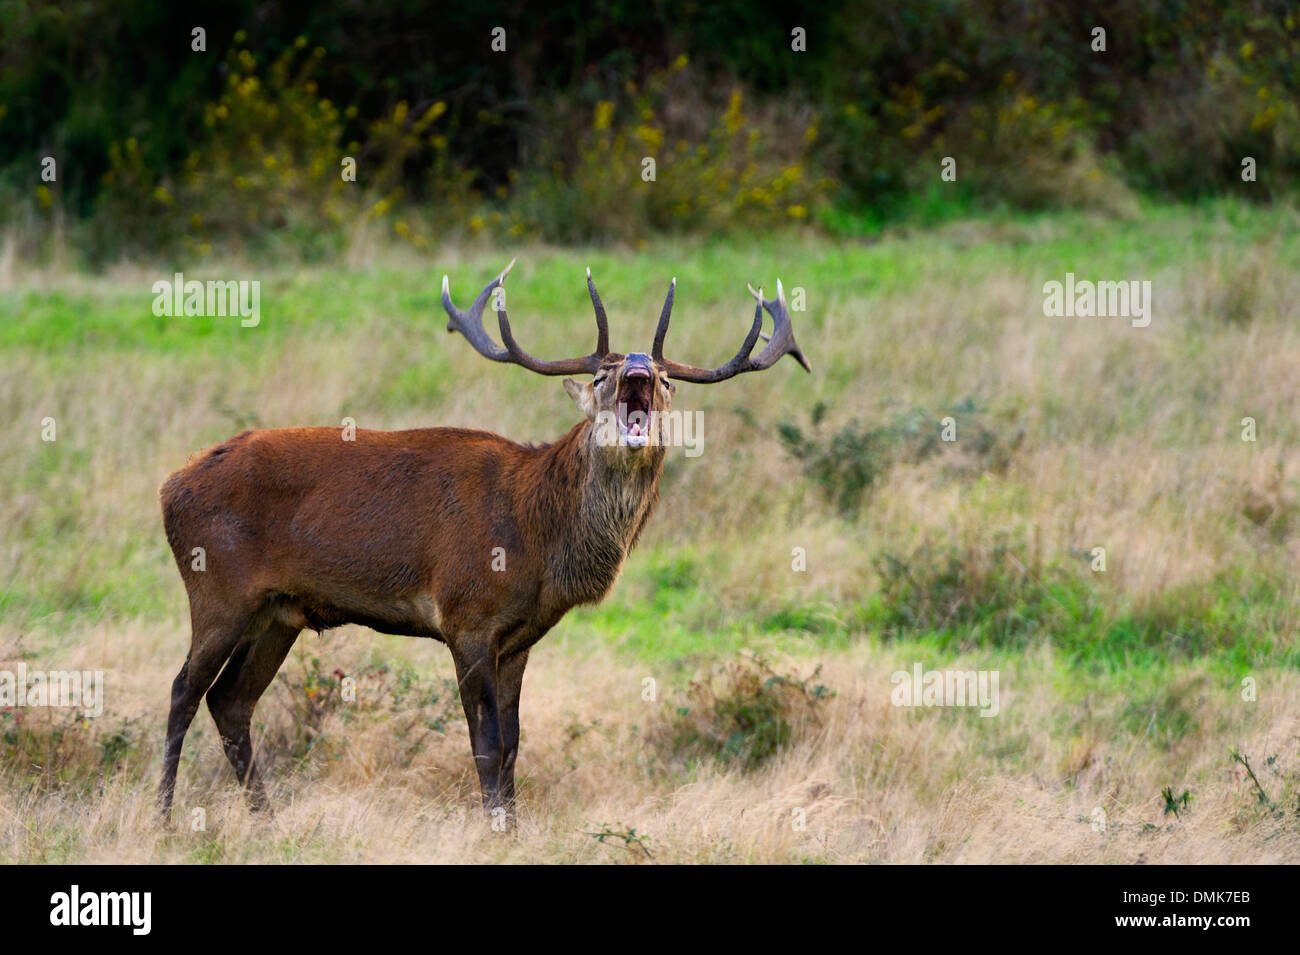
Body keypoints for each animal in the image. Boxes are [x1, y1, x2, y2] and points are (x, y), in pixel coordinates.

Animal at [156, 260, 810, 823]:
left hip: (279, 612)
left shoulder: (517, 639)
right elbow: (487, 746)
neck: (535, 536)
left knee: (231, 701)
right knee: (185, 690)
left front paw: (513, 829)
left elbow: (515, 746)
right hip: (216, 587)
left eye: (669, 378)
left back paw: (265, 821)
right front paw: (493, 829)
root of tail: (168, 486)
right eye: (601, 374)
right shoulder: (465, 616)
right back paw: (162, 817)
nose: (637, 370)